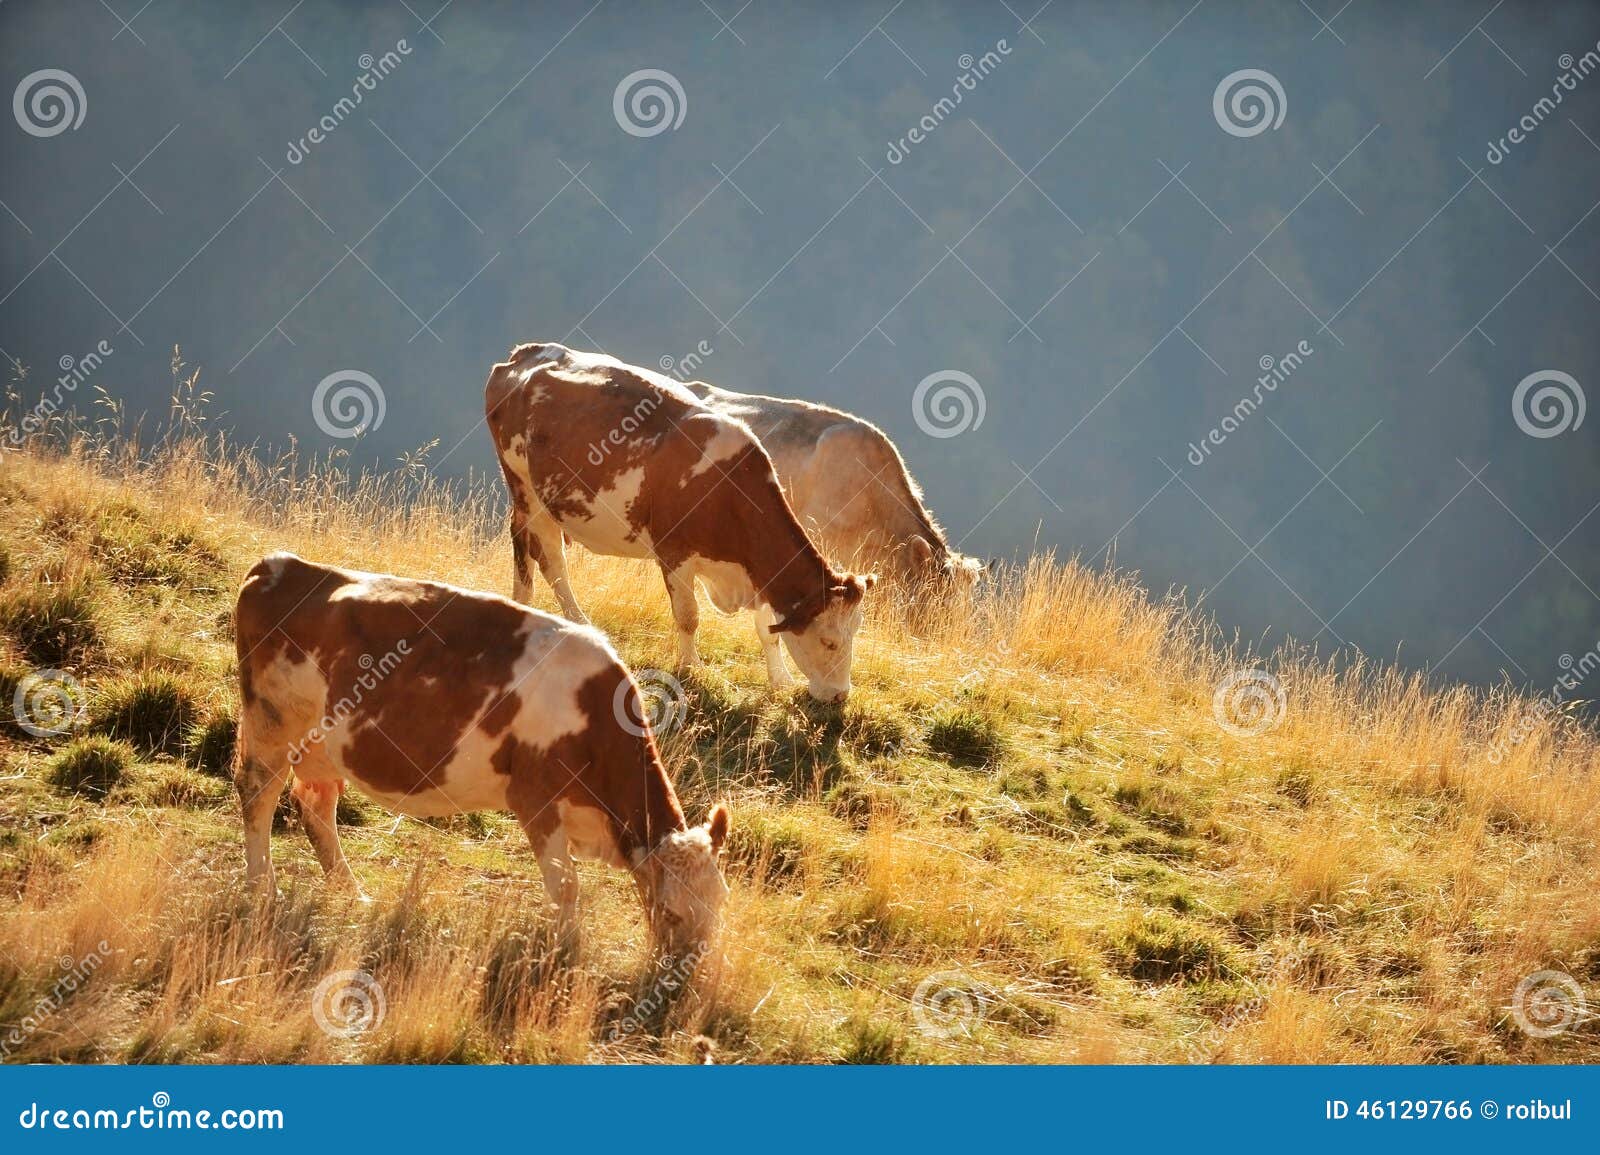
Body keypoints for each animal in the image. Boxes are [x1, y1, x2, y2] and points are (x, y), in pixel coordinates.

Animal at [233, 551, 730, 960]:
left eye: (721, 900)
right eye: (670, 911)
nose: (686, 974)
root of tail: (278, 565)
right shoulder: (535, 797)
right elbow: (566, 886)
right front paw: (569, 949)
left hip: (322, 744)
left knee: (316, 803)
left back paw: (351, 892)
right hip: (272, 725)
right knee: (258, 795)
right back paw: (263, 890)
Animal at [485, 342, 876, 703]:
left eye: (856, 632)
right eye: (828, 641)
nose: (840, 695)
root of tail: (528, 352)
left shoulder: (758, 570)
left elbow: (768, 630)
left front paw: (780, 680)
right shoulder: (674, 551)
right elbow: (689, 616)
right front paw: (692, 669)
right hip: (526, 489)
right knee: (549, 560)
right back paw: (578, 623)